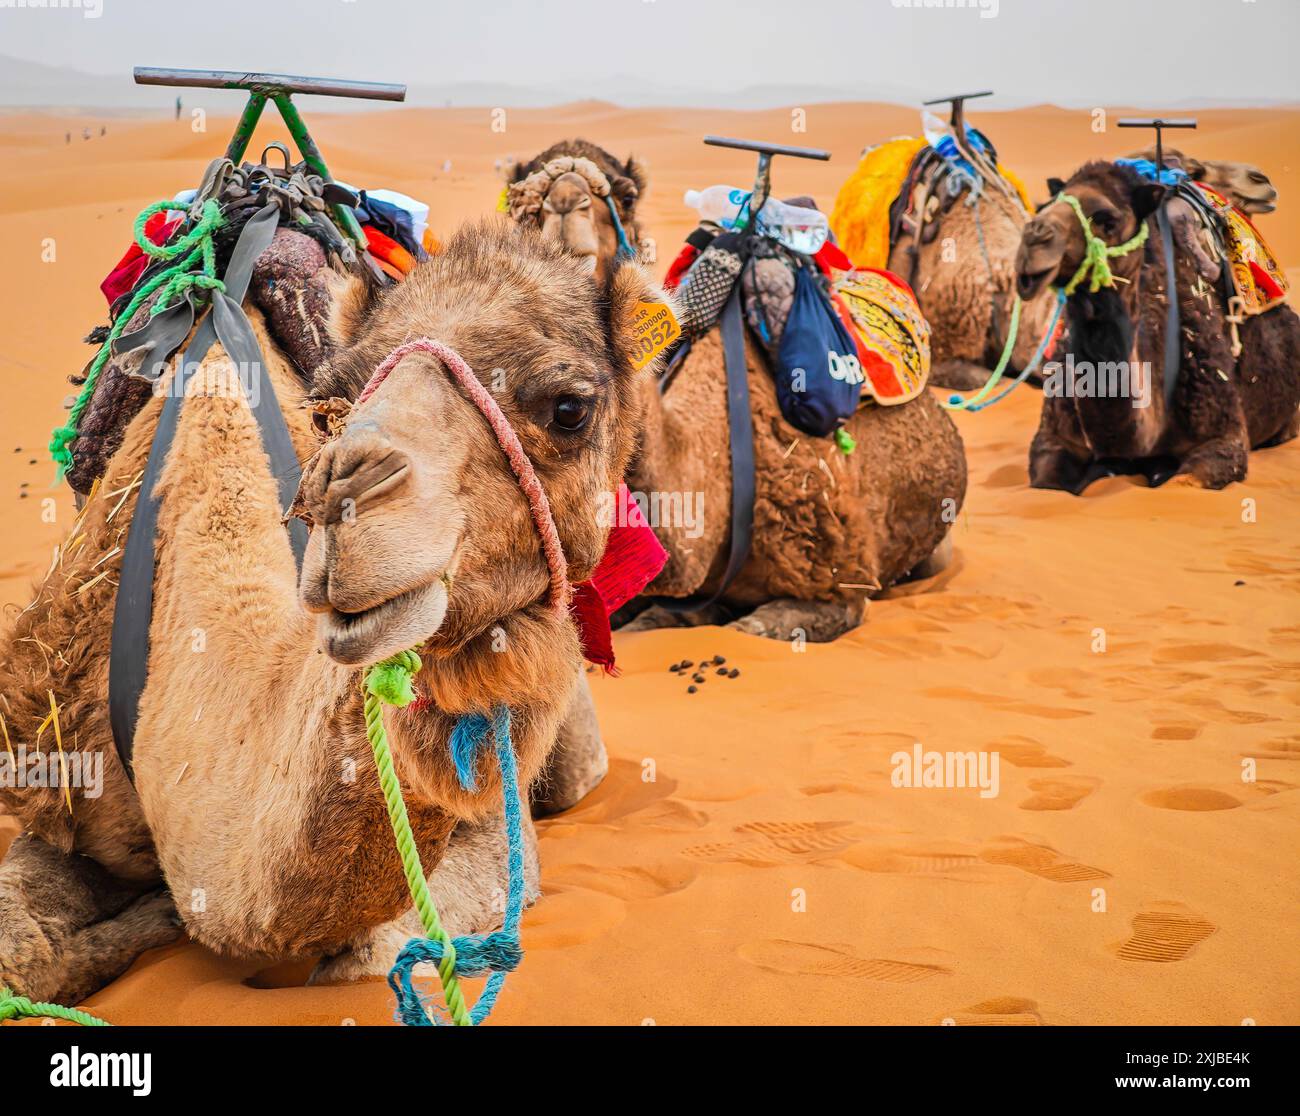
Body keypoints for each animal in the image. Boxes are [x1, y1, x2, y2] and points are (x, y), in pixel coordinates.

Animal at [0, 219, 662, 1004]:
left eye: (569, 408)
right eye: (332, 402)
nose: (349, 496)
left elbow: (369, 959)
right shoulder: (67, 777)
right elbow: (21, 947)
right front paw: (146, 918)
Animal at [1015, 161, 1300, 492]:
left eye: (1107, 220)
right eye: (1043, 207)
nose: (1034, 237)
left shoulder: (1223, 437)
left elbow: (1184, 479)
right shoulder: (1052, 437)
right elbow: (1046, 481)